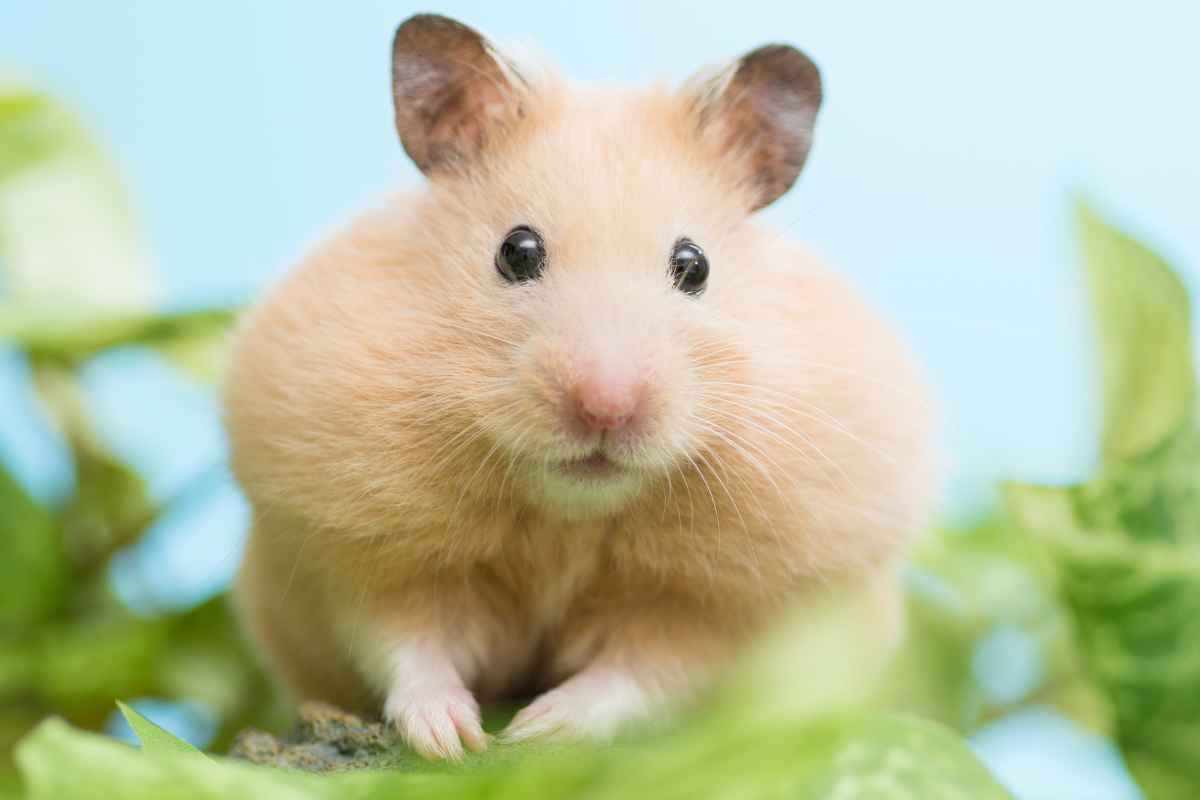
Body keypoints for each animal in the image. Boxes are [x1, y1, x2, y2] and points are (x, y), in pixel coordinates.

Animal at [224, 13, 938, 761]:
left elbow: (642, 672)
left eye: (695, 265)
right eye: (517, 251)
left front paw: (540, 731)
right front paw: (454, 739)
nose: (606, 408)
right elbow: (406, 645)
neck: (570, 515)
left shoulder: (712, 609)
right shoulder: (360, 555)